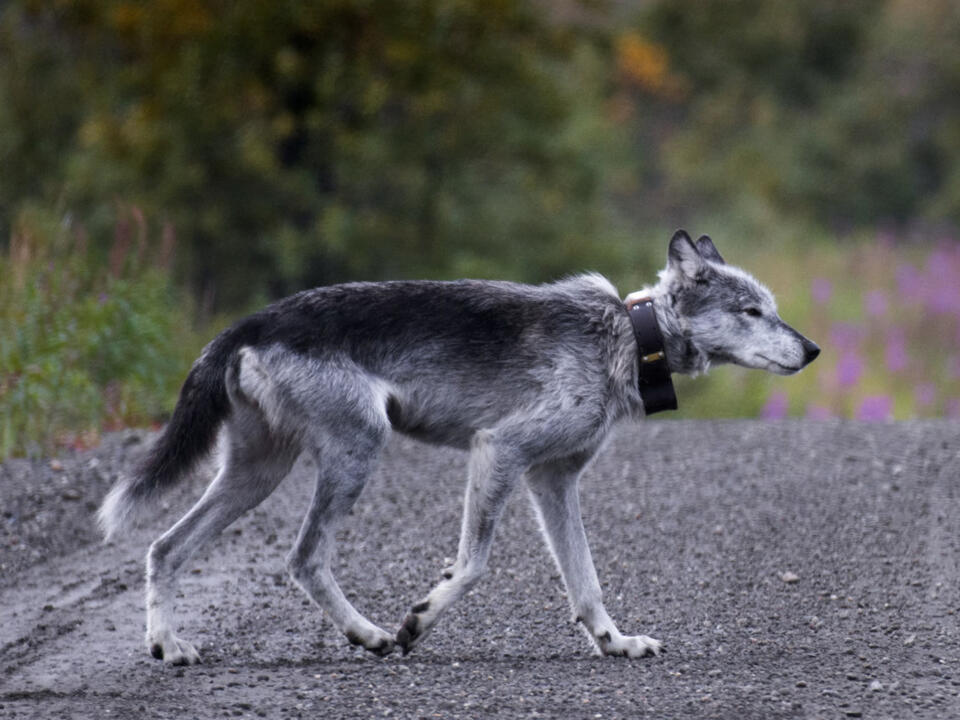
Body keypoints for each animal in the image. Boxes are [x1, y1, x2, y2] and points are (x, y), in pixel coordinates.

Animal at [98, 229, 819, 665]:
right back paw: (372, 635)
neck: (624, 335)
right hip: (356, 452)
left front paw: (615, 643)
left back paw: (168, 645)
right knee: (301, 558)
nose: (813, 350)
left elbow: (586, 584)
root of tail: (250, 322)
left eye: (774, 308)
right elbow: (471, 566)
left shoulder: (553, 481)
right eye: (752, 312)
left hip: (257, 475)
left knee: (164, 548)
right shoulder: (499, 451)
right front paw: (420, 619)